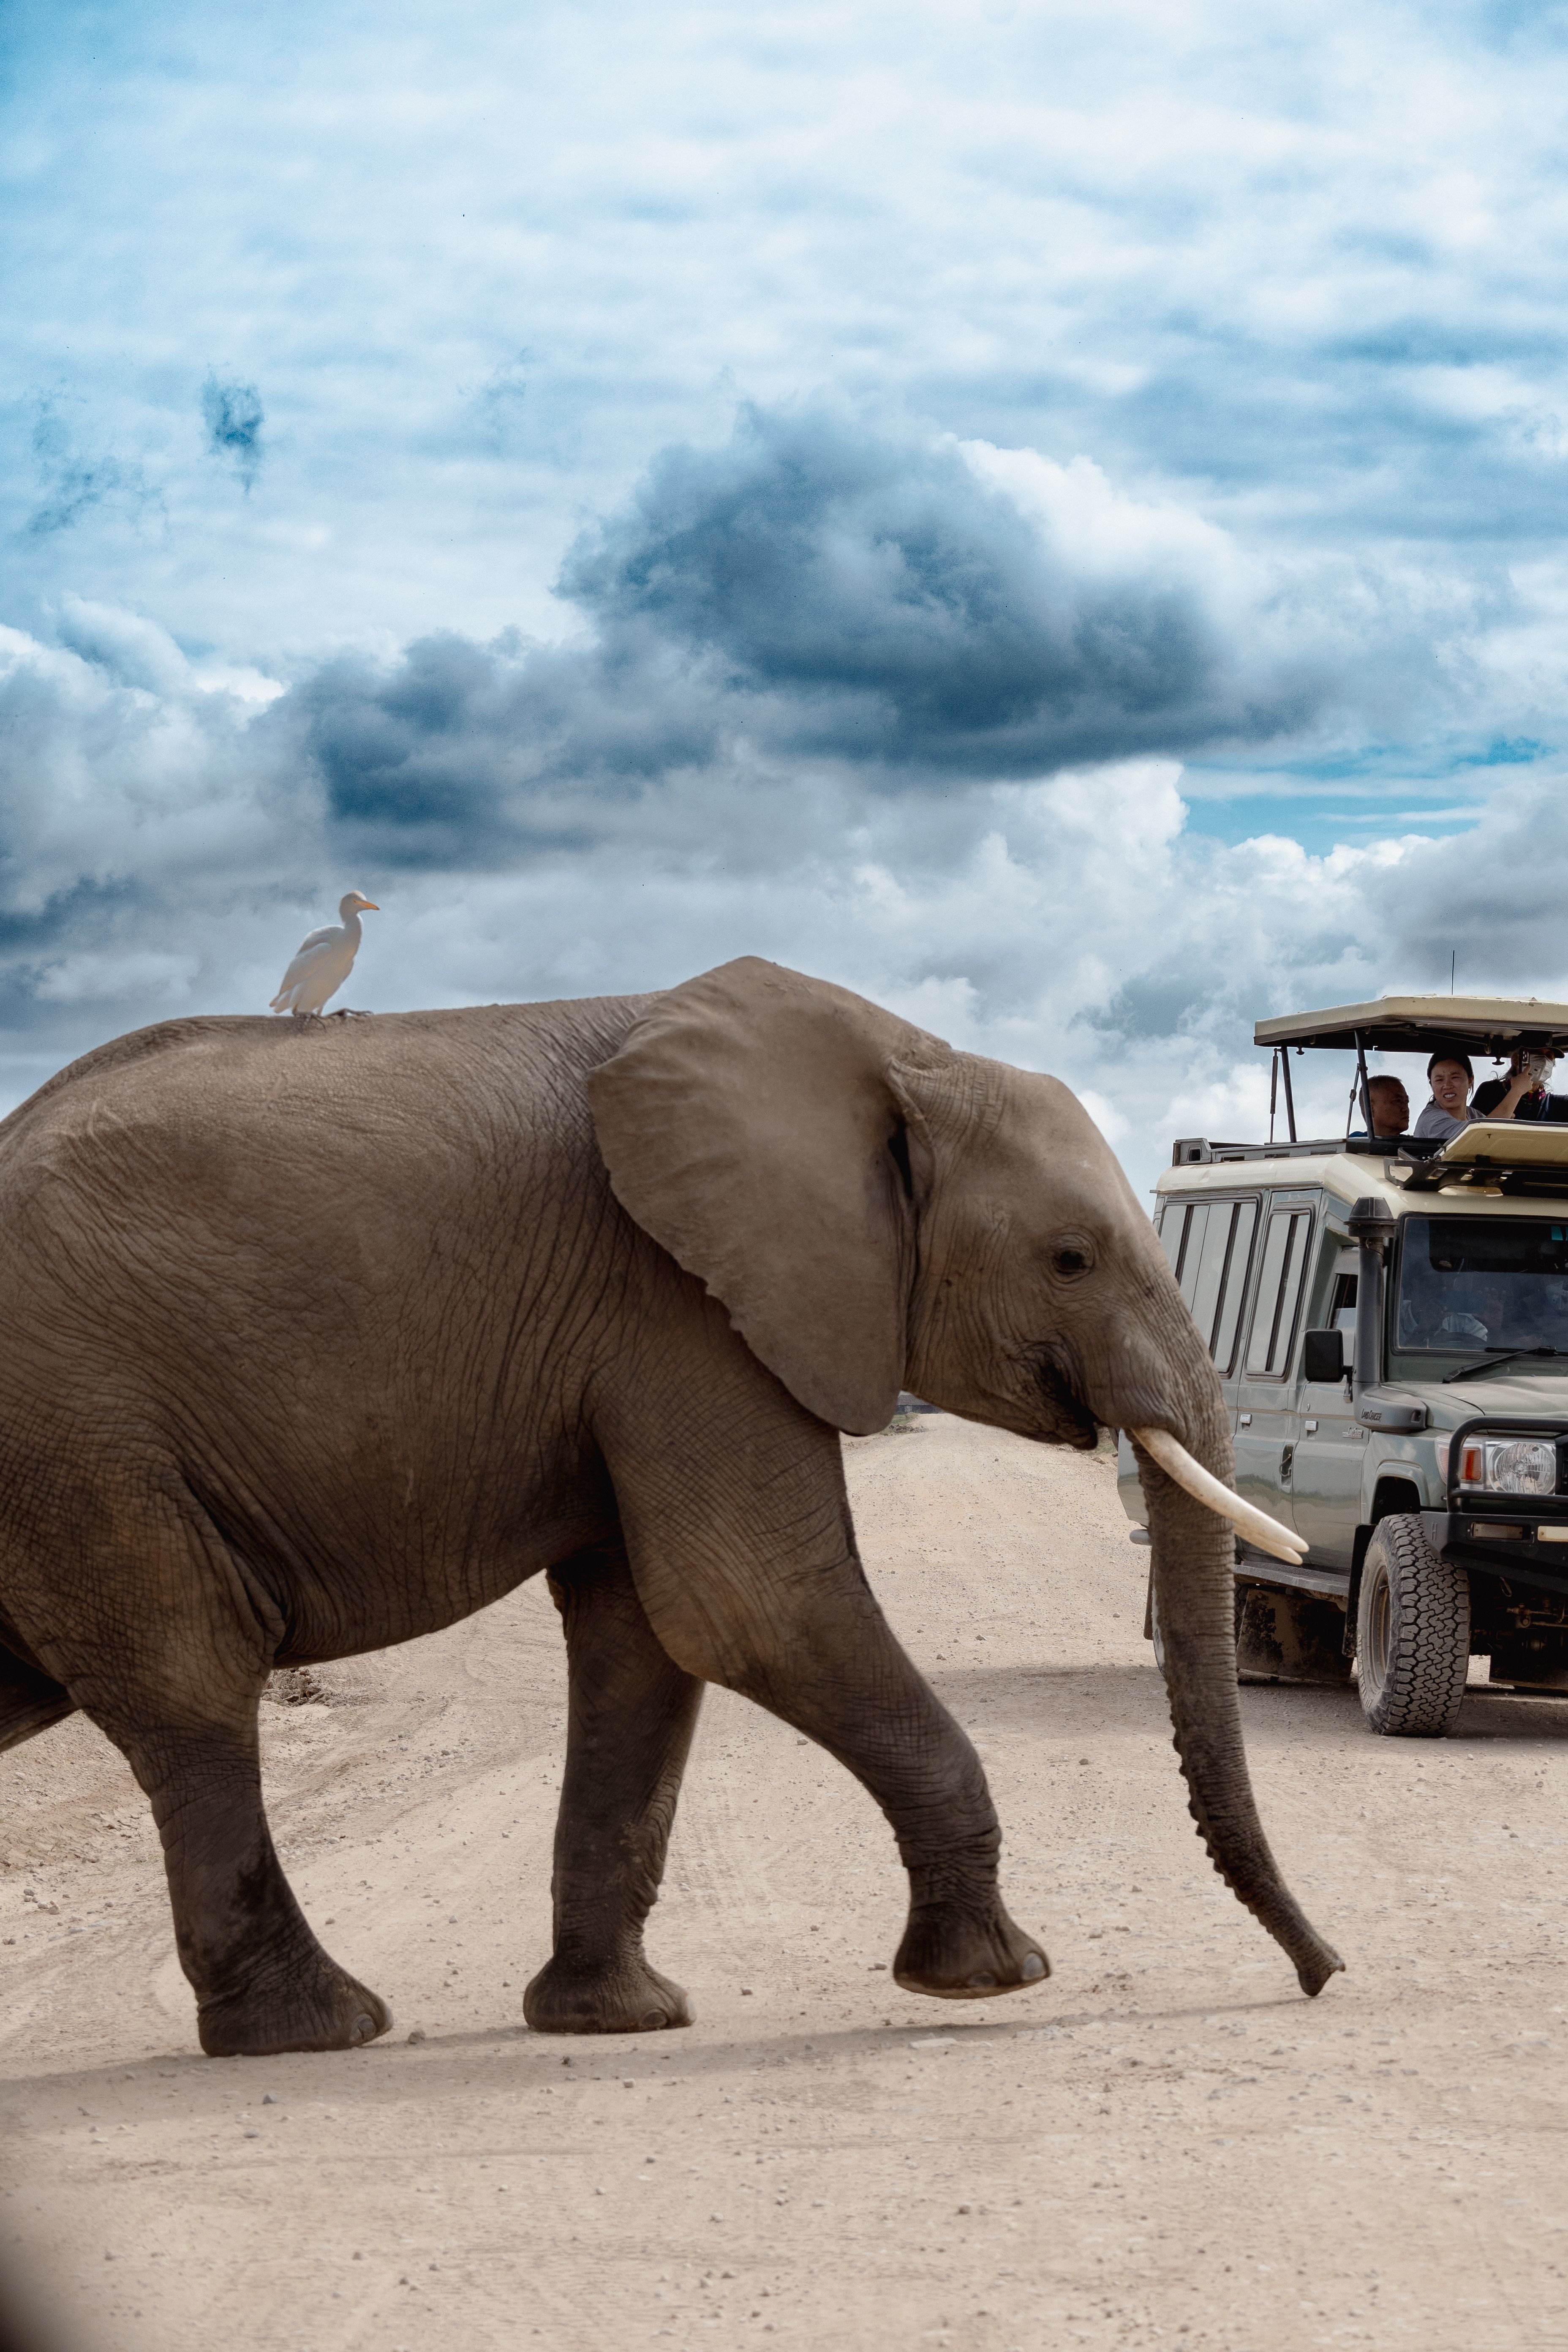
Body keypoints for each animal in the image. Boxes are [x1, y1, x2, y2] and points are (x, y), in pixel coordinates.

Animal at [0, 956, 1341, 2057]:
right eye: (1071, 1258)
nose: (1324, 1974)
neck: (903, 1055)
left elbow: (645, 1640)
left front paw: (619, 2019)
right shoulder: (677, 1304)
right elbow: (749, 1605)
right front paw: (996, 1980)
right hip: (84, 1432)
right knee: (192, 1678)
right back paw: (319, 2028)